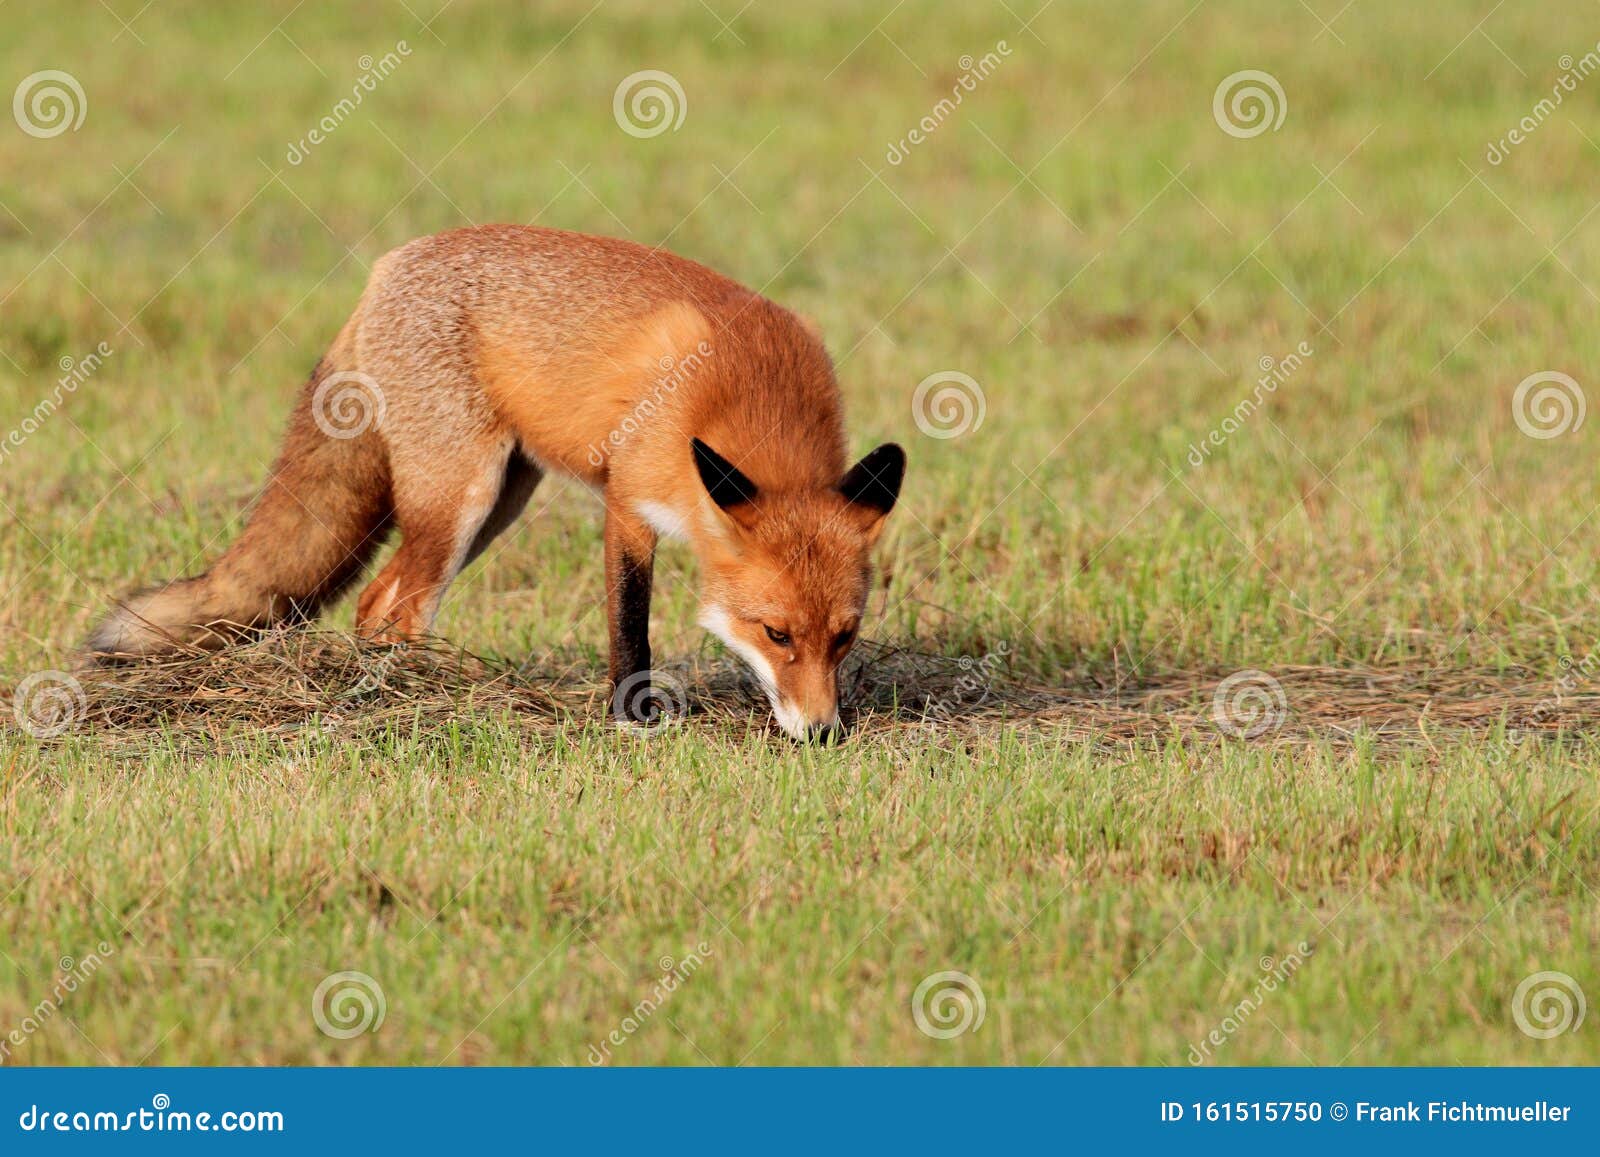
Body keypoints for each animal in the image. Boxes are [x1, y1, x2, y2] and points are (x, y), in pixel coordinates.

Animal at [87, 225, 906, 741]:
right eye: (776, 634)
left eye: (844, 635)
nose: (824, 734)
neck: (742, 395)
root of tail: (384, 270)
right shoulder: (628, 503)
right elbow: (629, 623)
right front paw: (630, 719)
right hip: (460, 499)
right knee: (394, 609)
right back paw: (416, 701)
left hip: (499, 503)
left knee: (375, 607)